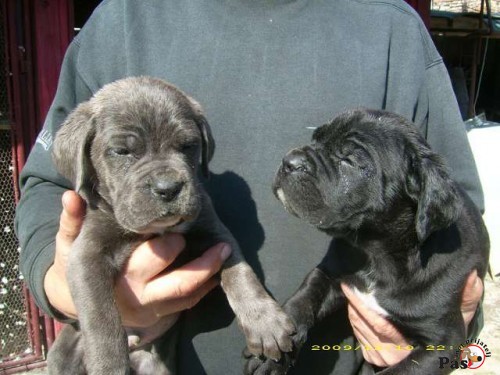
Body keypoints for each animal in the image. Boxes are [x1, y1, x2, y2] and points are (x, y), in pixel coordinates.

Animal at [47, 77, 292, 375]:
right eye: (121, 152)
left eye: (188, 146)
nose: (168, 188)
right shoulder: (87, 257)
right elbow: (101, 317)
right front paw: (109, 365)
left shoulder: (214, 232)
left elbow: (241, 272)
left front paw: (264, 321)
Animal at [246, 107, 488, 374]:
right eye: (316, 139)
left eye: (349, 160)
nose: (289, 160)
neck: (376, 253)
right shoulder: (331, 271)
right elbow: (305, 296)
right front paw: (275, 342)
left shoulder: (443, 341)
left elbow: (402, 370)